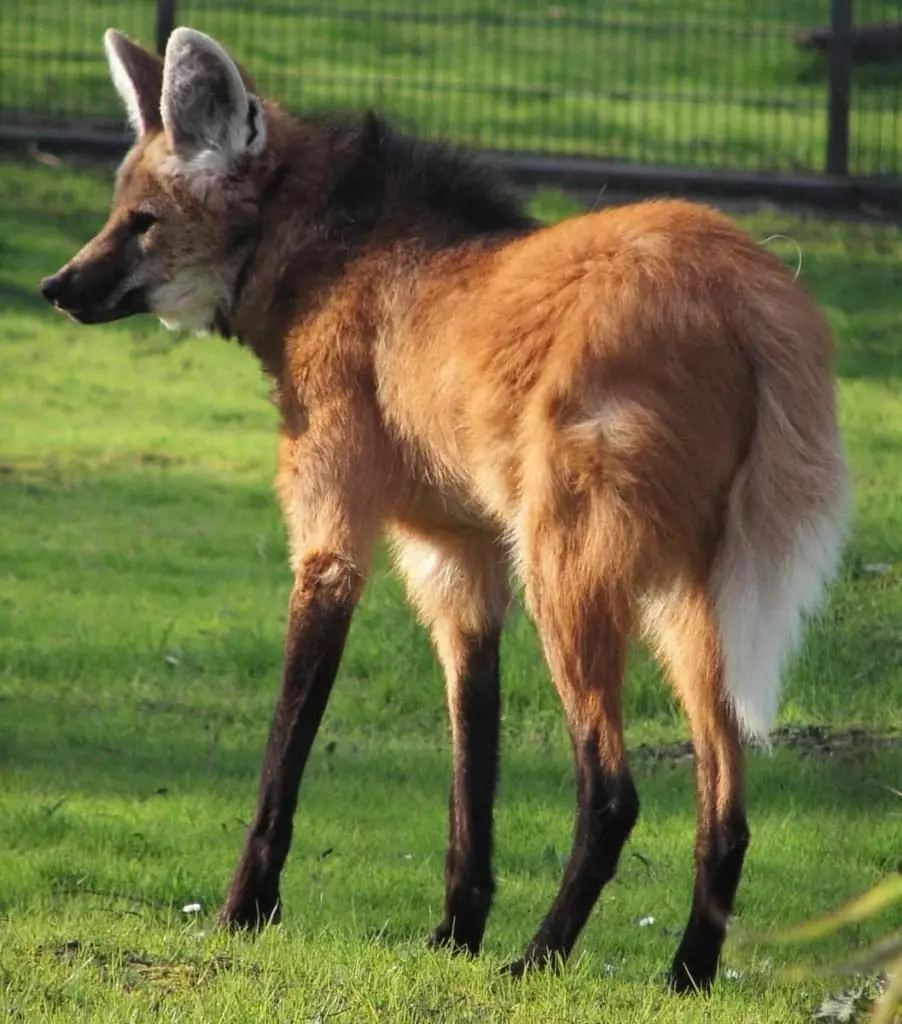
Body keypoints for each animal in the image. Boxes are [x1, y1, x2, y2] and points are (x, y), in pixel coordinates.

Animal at [38, 28, 847, 995]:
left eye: (143, 221)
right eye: (118, 213)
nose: (54, 285)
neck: (328, 261)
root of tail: (754, 292)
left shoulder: (334, 541)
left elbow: (284, 758)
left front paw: (244, 911)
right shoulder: (456, 555)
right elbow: (472, 765)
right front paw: (455, 934)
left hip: (567, 569)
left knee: (613, 792)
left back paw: (538, 961)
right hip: (689, 595)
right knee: (724, 807)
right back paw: (683, 976)